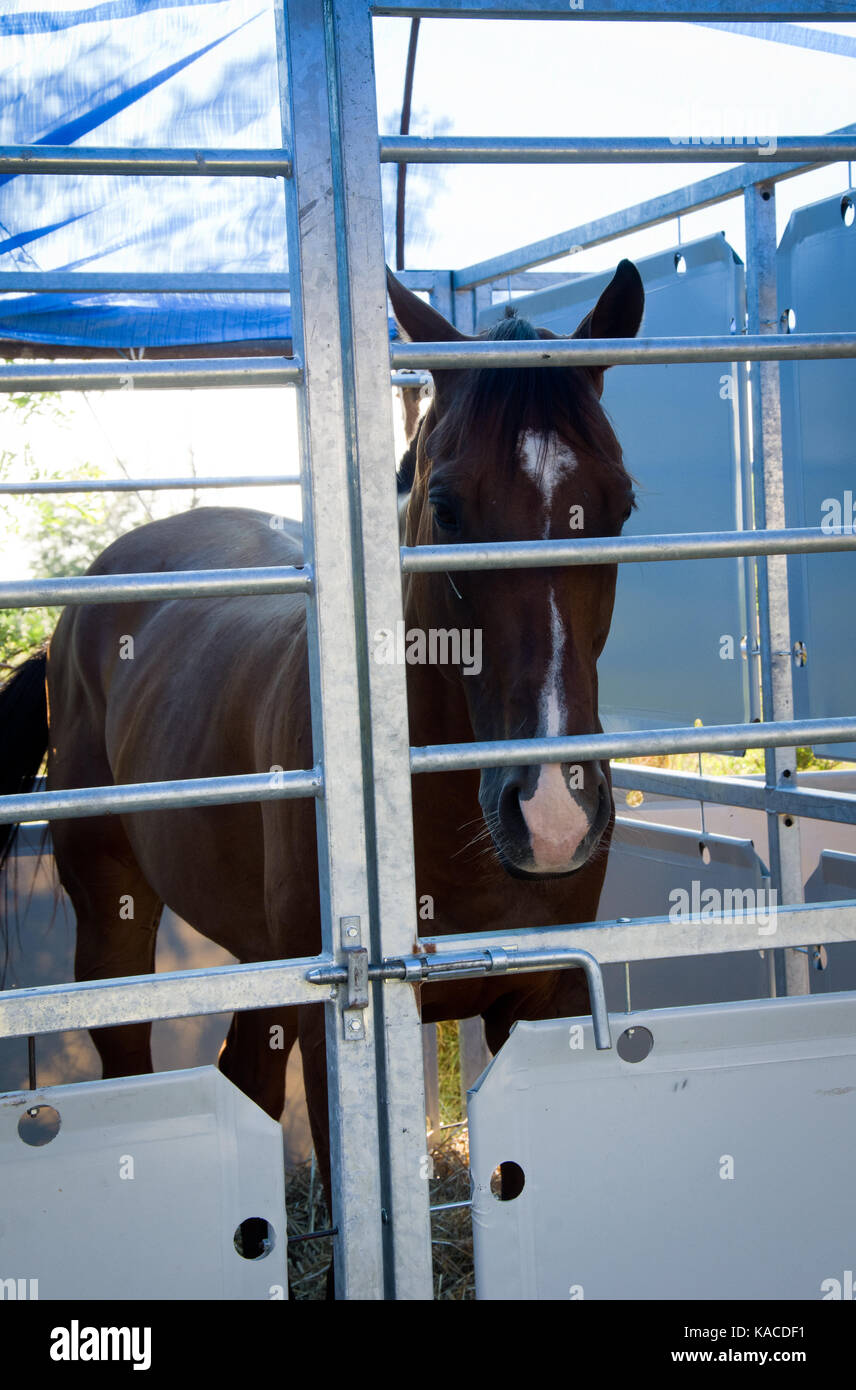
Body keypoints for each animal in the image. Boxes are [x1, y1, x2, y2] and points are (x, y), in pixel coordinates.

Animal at [0, 259, 644, 1263]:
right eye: (445, 505)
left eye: (618, 506)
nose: (552, 815)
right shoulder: (341, 1039)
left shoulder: (540, 1005)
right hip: (115, 913)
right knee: (130, 1062)